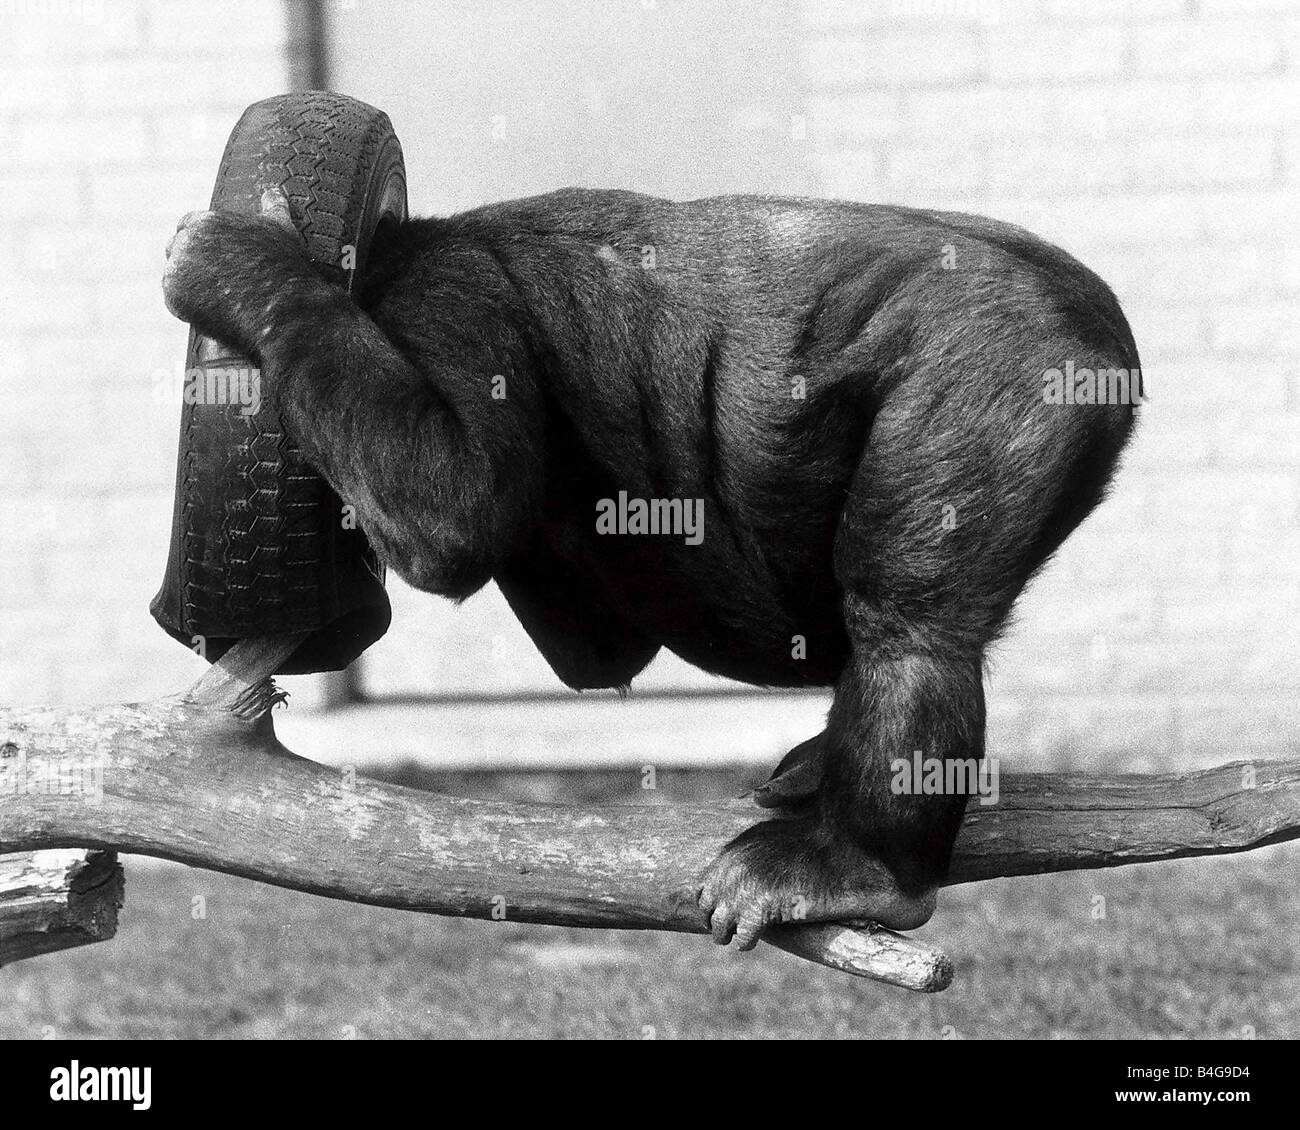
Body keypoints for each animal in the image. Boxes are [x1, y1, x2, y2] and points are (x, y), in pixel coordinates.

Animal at [161, 185, 1139, 950]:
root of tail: (1099, 328)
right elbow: (594, 638)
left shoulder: (448, 297)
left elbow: (456, 505)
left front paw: (243, 268)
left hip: (1000, 375)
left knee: (909, 621)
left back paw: (863, 868)